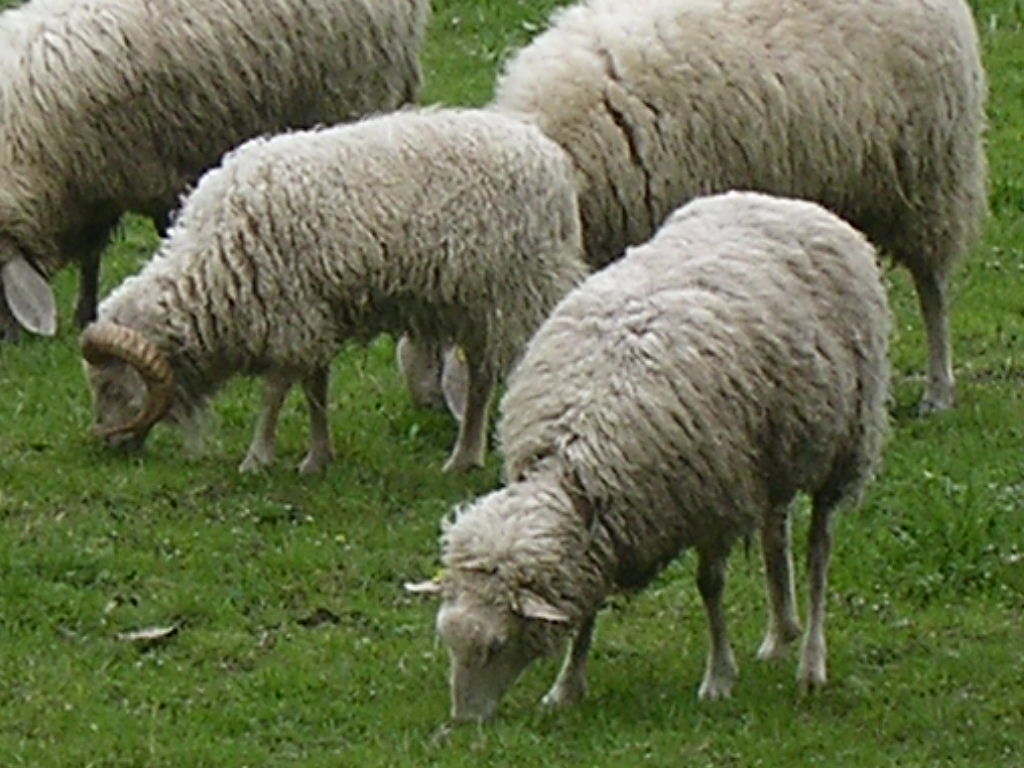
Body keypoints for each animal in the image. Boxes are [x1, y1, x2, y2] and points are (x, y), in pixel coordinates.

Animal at [0, 0, 429, 342]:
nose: (9, 341)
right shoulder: (95, 186)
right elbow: (92, 257)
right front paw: (85, 313)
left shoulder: (150, 171)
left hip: (359, 91)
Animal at [80, 107, 587, 474]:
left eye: (111, 384)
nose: (109, 445)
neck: (214, 265)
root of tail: (553, 160)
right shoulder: (315, 313)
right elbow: (314, 389)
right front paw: (317, 458)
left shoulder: (290, 313)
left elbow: (276, 391)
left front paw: (257, 458)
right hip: (473, 305)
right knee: (481, 376)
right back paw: (467, 455)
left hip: (510, 292)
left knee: (488, 377)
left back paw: (466, 456)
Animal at [406, 191, 891, 722]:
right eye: (447, 639)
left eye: (495, 645)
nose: (463, 723)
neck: (575, 466)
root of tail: (790, 204)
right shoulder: (607, 532)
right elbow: (588, 606)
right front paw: (567, 686)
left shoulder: (712, 502)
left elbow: (710, 586)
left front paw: (718, 678)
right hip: (775, 452)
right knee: (774, 532)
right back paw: (781, 634)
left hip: (846, 442)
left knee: (819, 550)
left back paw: (811, 663)